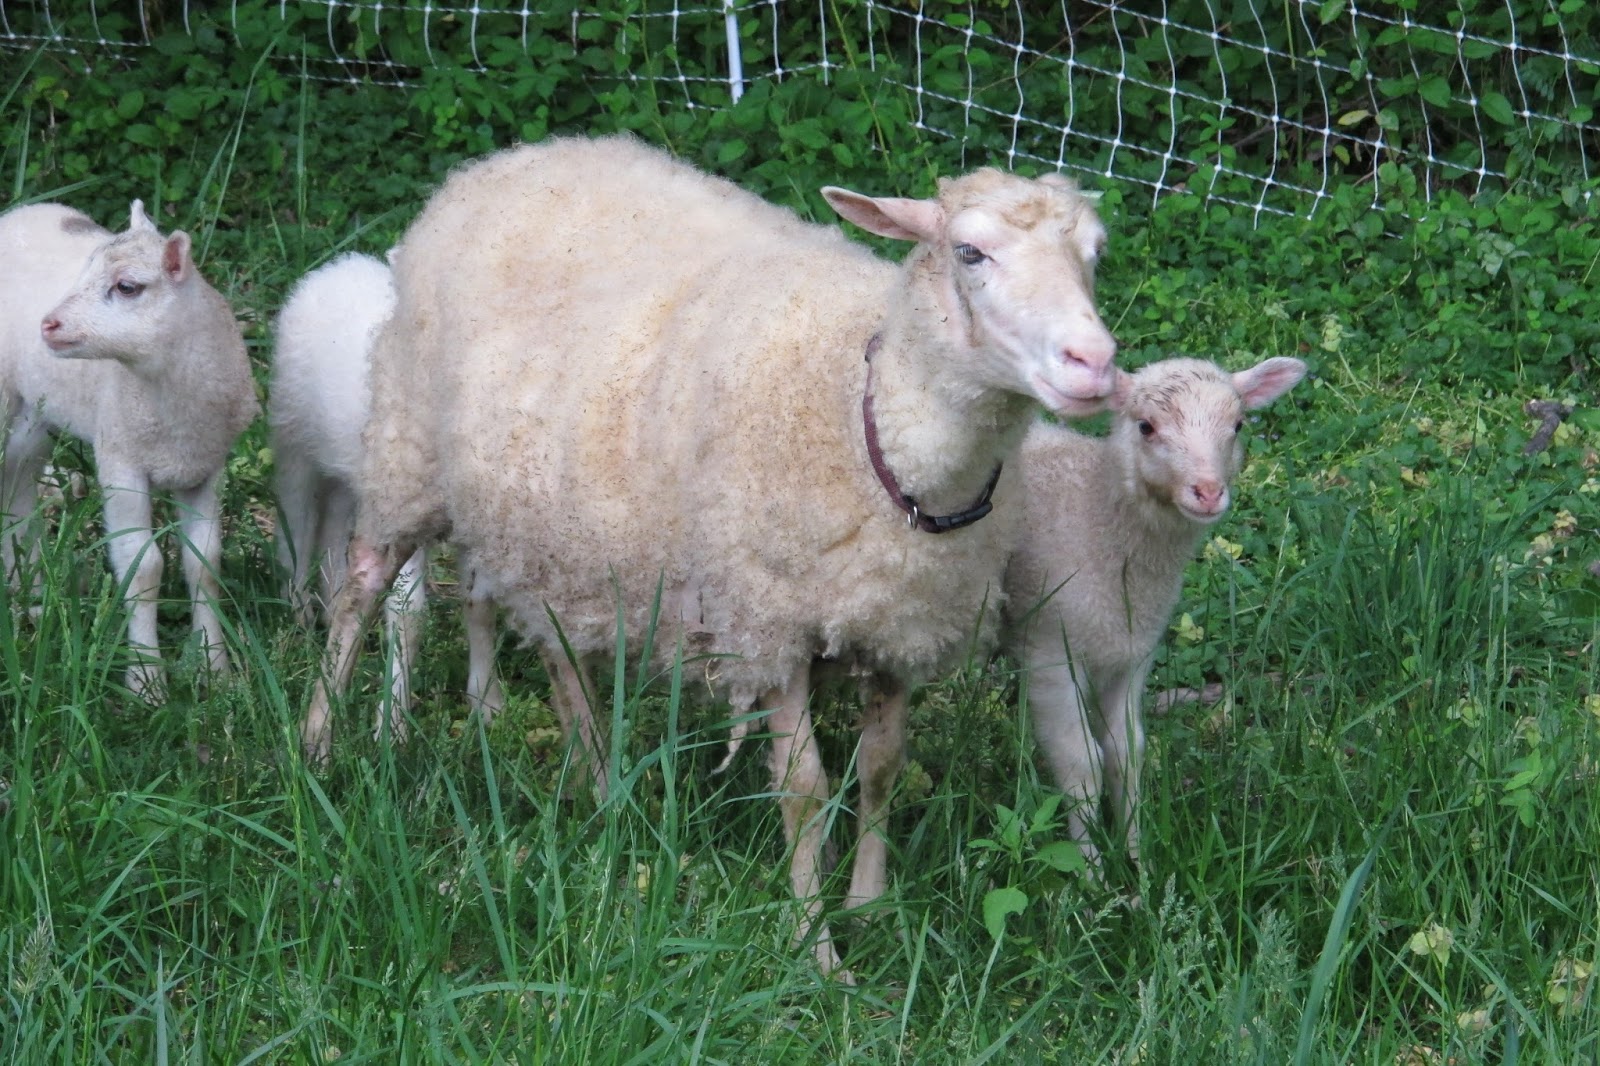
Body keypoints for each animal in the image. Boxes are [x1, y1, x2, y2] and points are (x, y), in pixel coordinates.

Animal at [0, 200, 258, 699]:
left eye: (127, 287)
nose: (48, 324)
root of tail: (18, 213)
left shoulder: (206, 464)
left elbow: (204, 562)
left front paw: (214, 670)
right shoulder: (121, 459)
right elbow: (142, 565)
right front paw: (145, 682)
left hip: (33, 412)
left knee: (17, 480)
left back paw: (30, 592)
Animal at [270, 251, 505, 734]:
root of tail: (339, 266)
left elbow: (480, 601)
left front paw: (487, 706)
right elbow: (409, 614)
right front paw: (391, 726)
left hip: (350, 473)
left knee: (334, 528)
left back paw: (331, 608)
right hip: (293, 436)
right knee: (295, 524)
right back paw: (299, 617)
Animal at [300, 134, 1119, 976]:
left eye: (1095, 253)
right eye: (969, 252)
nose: (1094, 361)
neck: (874, 428)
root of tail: (509, 159)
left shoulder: (899, 623)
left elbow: (882, 767)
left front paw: (870, 908)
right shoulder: (767, 624)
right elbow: (803, 787)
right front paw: (816, 950)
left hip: (547, 519)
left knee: (551, 643)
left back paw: (593, 783)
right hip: (407, 445)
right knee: (361, 586)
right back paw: (319, 750)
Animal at [1003, 355, 1307, 874]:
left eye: (1238, 425)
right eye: (1146, 426)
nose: (1208, 491)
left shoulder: (1133, 651)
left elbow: (1126, 753)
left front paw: (1137, 861)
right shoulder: (1049, 650)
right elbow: (1080, 761)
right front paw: (1090, 872)